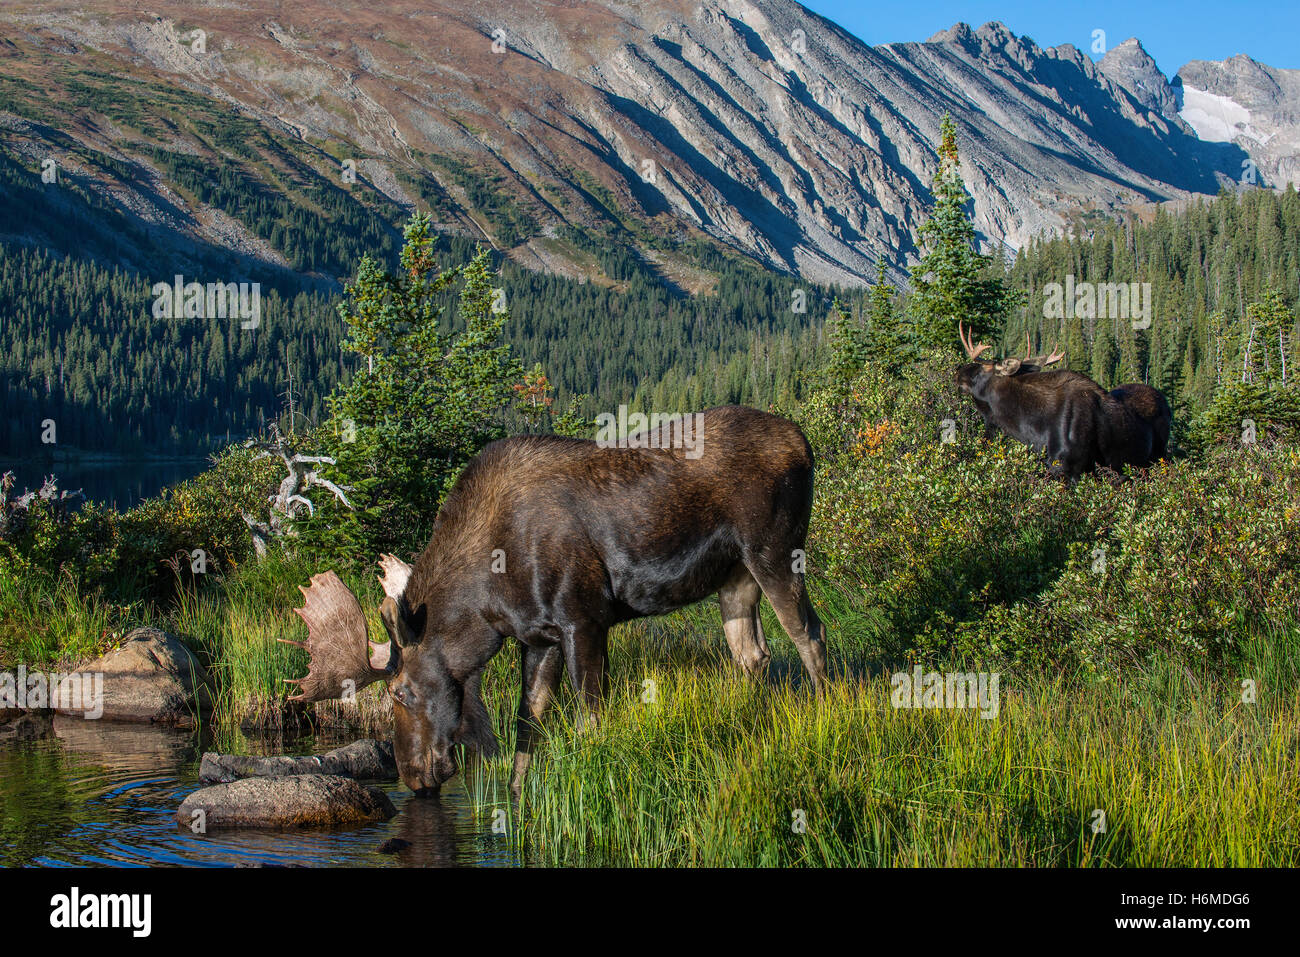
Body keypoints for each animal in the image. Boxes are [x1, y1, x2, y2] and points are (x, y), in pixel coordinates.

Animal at [281, 405, 828, 796]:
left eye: (400, 693)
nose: (412, 776)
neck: (488, 600)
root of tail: (805, 443)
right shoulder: (536, 637)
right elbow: (527, 726)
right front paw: (518, 799)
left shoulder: (583, 620)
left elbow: (589, 722)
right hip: (734, 577)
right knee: (752, 653)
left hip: (776, 550)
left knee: (809, 632)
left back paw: (828, 708)